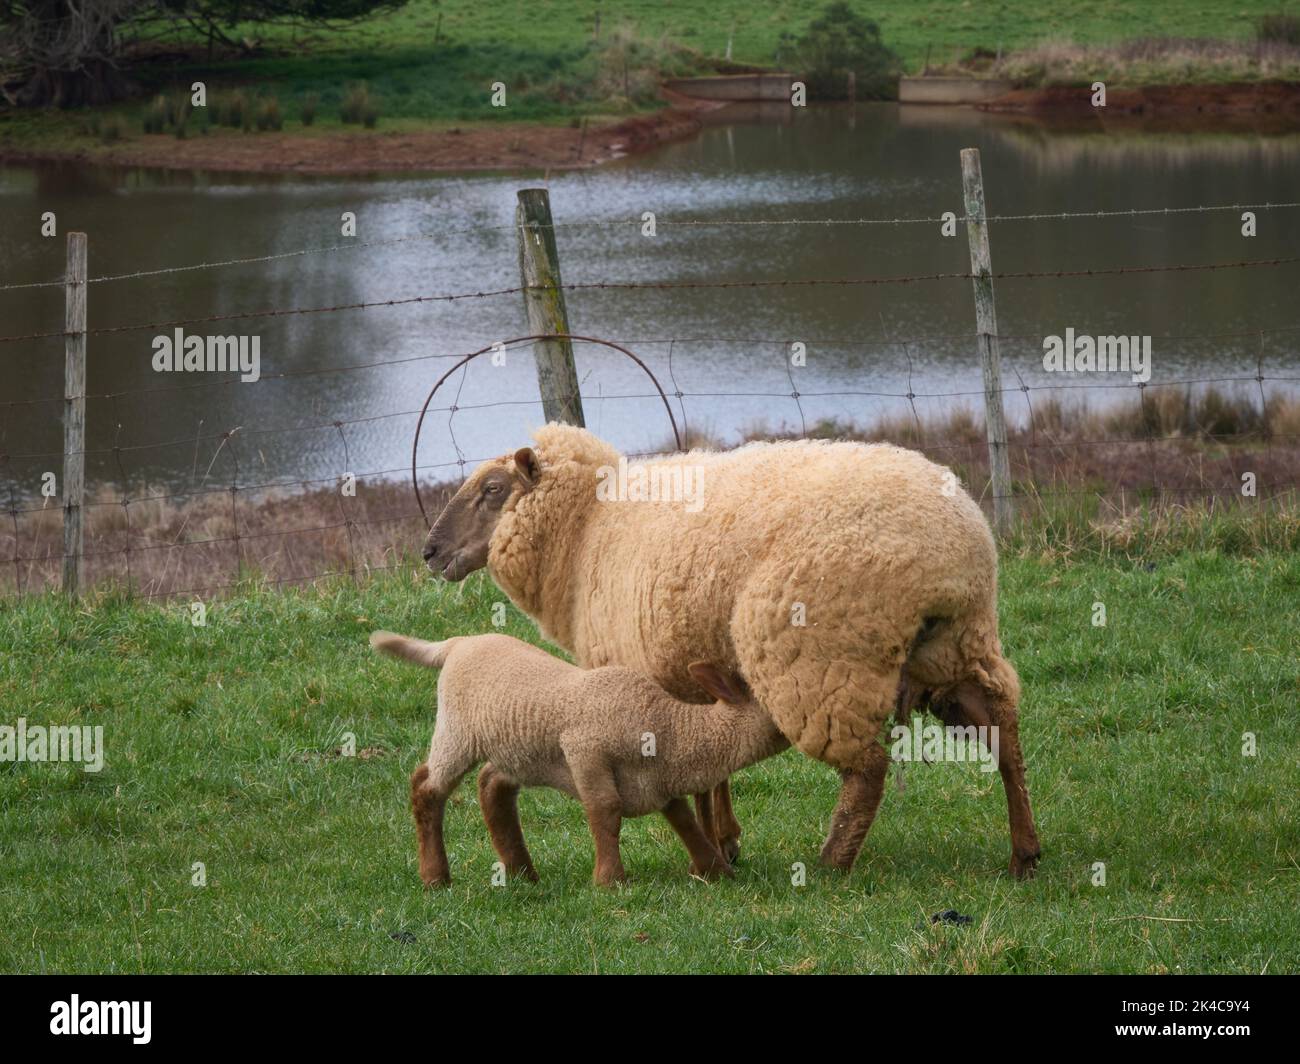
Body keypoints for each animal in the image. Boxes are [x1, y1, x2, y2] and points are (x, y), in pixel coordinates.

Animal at [370, 630, 788, 886]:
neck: (670, 726)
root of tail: (459, 643)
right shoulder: (584, 750)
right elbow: (605, 810)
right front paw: (610, 880)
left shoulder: (657, 781)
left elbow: (682, 818)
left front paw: (714, 870)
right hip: (457, 731)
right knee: (427, 787)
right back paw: (435, 876)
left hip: (516, 748)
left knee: (492, 785)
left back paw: (522, 872)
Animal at [420, 424, 1041, 879]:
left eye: (492, 491)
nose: (429, 553)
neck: (589, 530)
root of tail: (950, 548)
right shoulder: (691, 665)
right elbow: (711, 770)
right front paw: (724, 839)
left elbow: (694, 765)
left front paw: (713, 851)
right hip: (957, 647)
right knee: (1004, 733)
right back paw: (1024, 853)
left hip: (824, 658)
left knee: (867, 769)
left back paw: (831, 862)